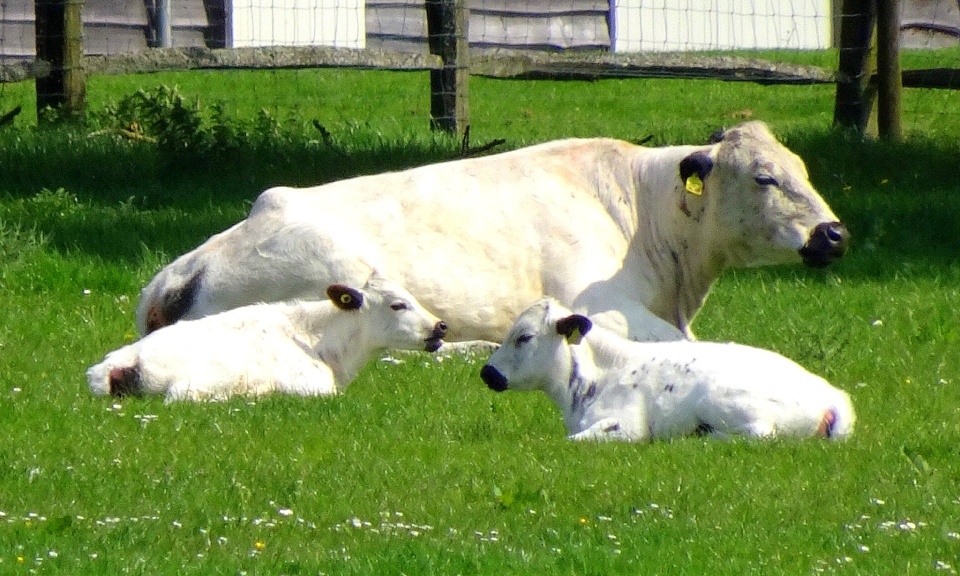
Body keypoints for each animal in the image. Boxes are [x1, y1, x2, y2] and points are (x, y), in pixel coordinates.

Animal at [479, 298, 855, 442]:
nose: (487, 373)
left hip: (724, 399)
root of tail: (831, 394)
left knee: (760, 433)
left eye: (524, 337)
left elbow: (573, 440)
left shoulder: (627, 425)